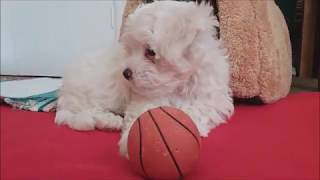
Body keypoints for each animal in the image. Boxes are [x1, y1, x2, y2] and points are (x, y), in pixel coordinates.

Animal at [55, 0, 232, 156]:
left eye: (150, 52)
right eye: (130, 50)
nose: (125, 73)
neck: (178, 84)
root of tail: (64, 92)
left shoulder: (210, 97)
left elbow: (197, 110)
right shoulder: (144, 99)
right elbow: (142, 115)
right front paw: (129, 142)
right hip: (96, 89)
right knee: (86, 111)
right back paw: (109, 121)